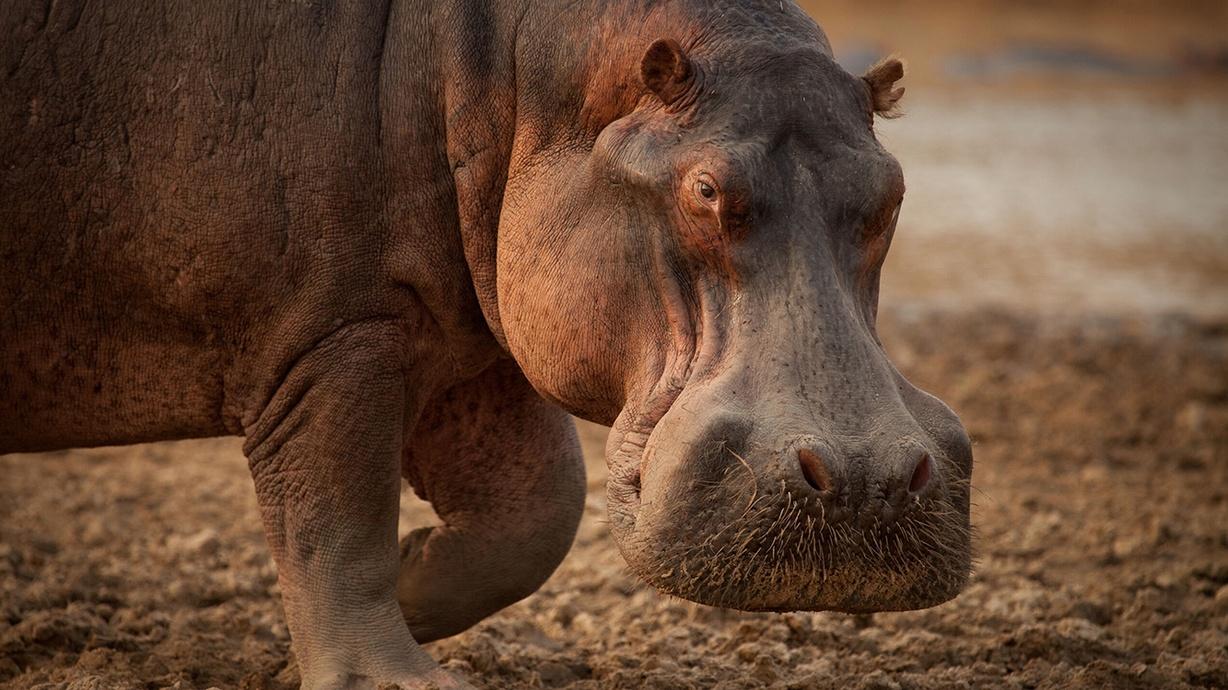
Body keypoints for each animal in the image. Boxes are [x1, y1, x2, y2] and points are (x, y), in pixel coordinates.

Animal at [0, 0, 973, 687]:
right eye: (705, 190)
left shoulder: (474, 347)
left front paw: (397, 587)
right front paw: (397, 683)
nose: (866, 482)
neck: (508, 71)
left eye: (892, 190)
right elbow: (334, 517)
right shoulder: (332, 336)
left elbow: (532, 517)